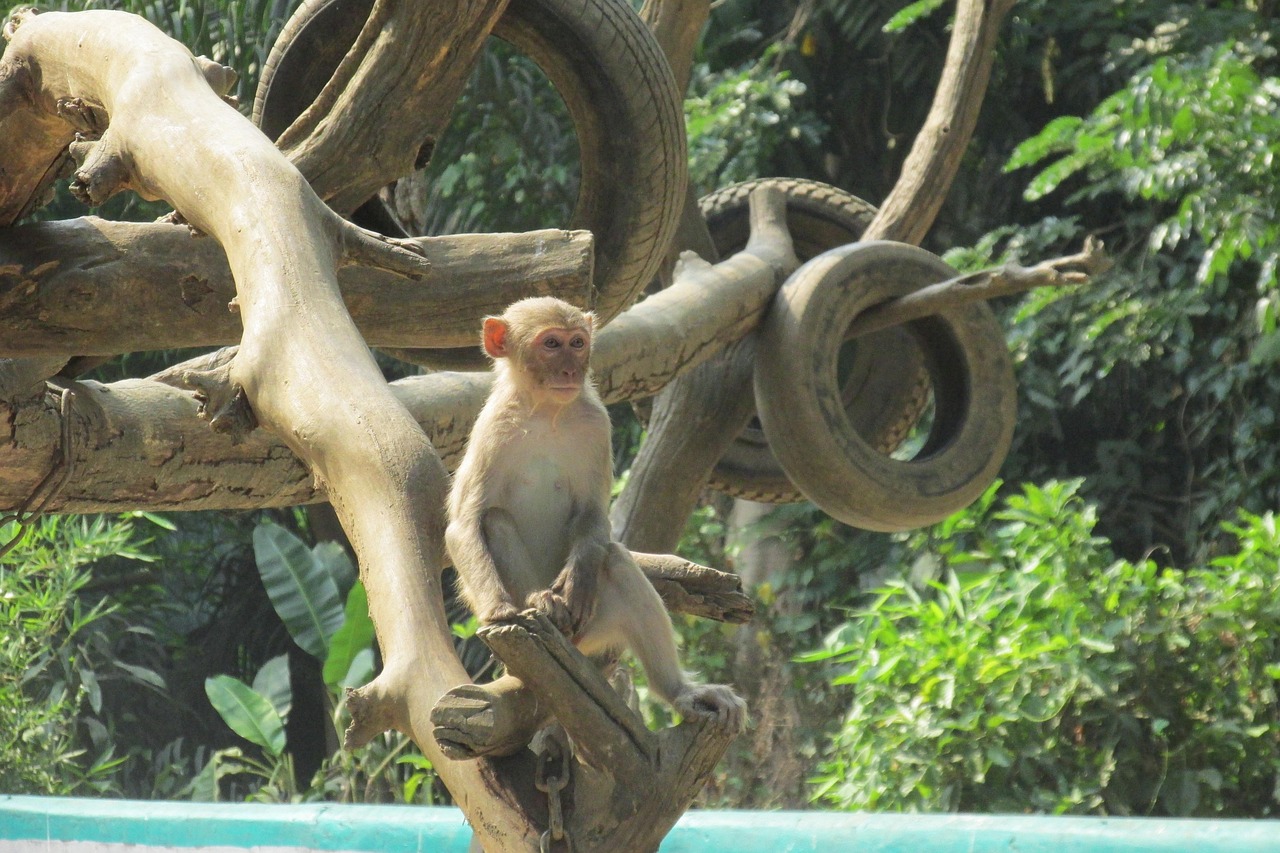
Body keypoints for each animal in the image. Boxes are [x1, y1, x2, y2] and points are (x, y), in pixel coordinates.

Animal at [445, 296, 746, 729]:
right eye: (551, 344)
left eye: (577, 343)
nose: (571, 369)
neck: (546, 412)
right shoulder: (493, 428)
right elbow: (464, 524)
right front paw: (498, 609)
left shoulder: (596, 422)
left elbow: (592, 517)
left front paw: (580, 577)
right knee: (495, 520)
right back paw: (541, 603)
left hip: (594, 630)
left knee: (617, 561)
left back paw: (679, 690)